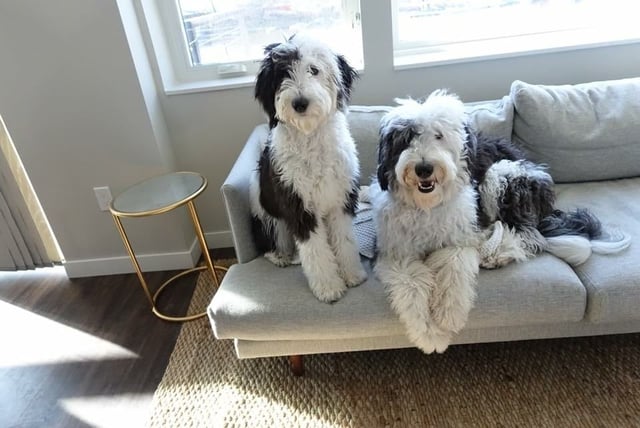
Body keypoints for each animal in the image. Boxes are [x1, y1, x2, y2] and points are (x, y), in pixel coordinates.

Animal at [250, 34, 367, 303]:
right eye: (283, 73)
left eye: (313, 70)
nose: (300, 103)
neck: (310, 137)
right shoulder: (299, 207)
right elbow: (315, 251)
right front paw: (328, 287)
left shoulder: (340, 200)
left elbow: (345, 240)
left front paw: (352, 274)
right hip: (268, 215)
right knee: (272, 242)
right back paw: (281, 257)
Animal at [370, 90, 630, 353]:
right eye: (406, 138)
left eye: (438, 135)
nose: (424, 168)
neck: (427, 206)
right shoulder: (396, 253)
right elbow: (411, 283)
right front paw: (429, 334)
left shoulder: (461, 240)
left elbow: (454, 269)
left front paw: (447, 318)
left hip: (500, 176)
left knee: (530, 235)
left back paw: (497, 255)